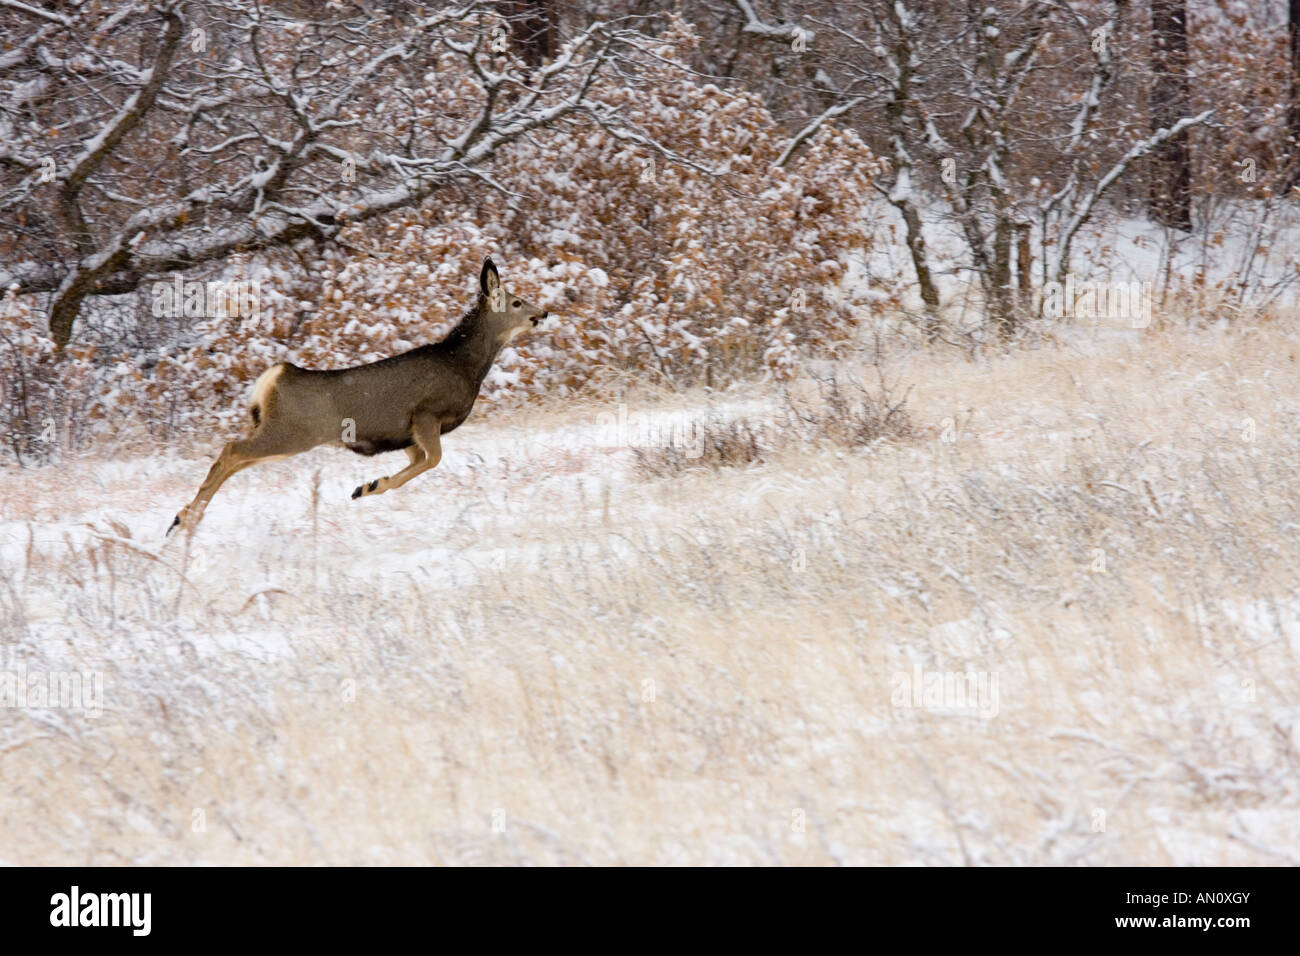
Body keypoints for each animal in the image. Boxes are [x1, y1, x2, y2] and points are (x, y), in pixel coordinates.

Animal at [167, 258, 547, 537]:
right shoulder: (425, 414)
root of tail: (276, 377)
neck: (464, 366)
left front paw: (367, 485)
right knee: (231, 451)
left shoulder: (404, 435)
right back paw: (183, 520)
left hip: (282, 433)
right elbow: (434, 459)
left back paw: (182, 518)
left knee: (234, 459)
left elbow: (419, 462)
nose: (543, 313)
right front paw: (369, 485)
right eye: (516, 301)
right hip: (292, 432)